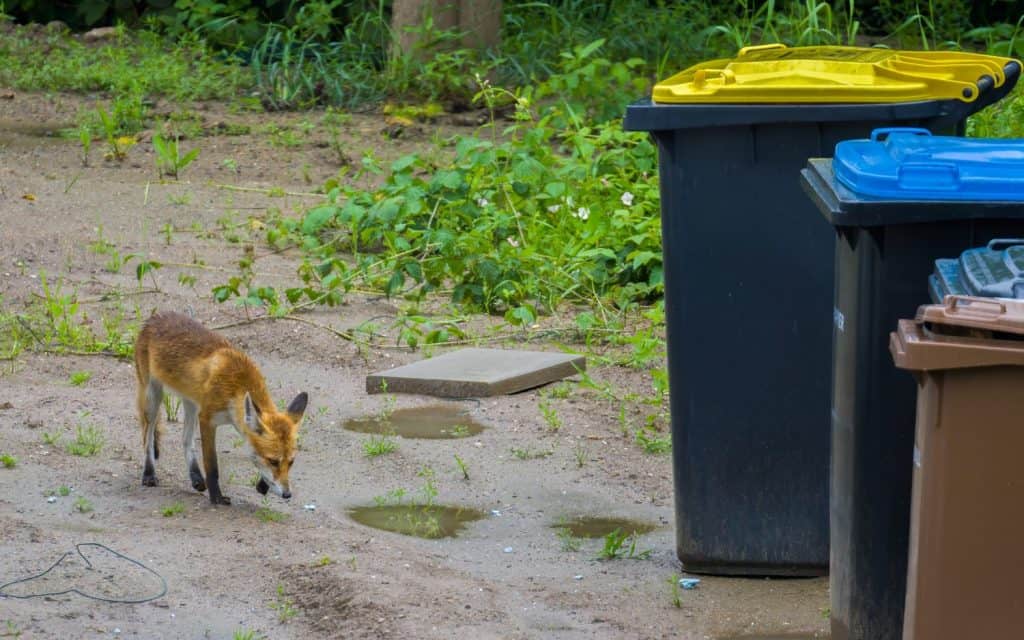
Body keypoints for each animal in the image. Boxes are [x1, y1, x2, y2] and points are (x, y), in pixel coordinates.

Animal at [133, 311, 308, 505]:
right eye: (274, 461)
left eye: (291, 462)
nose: (287, 494)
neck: (235, 385)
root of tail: (156, 317)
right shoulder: (207, 419)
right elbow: (212, 466)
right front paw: (216, 497)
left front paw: (263, 485)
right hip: (152, 398)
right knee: (147, 439)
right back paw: (149, 474)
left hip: (191, 404)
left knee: (186, 440)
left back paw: (195, 477)